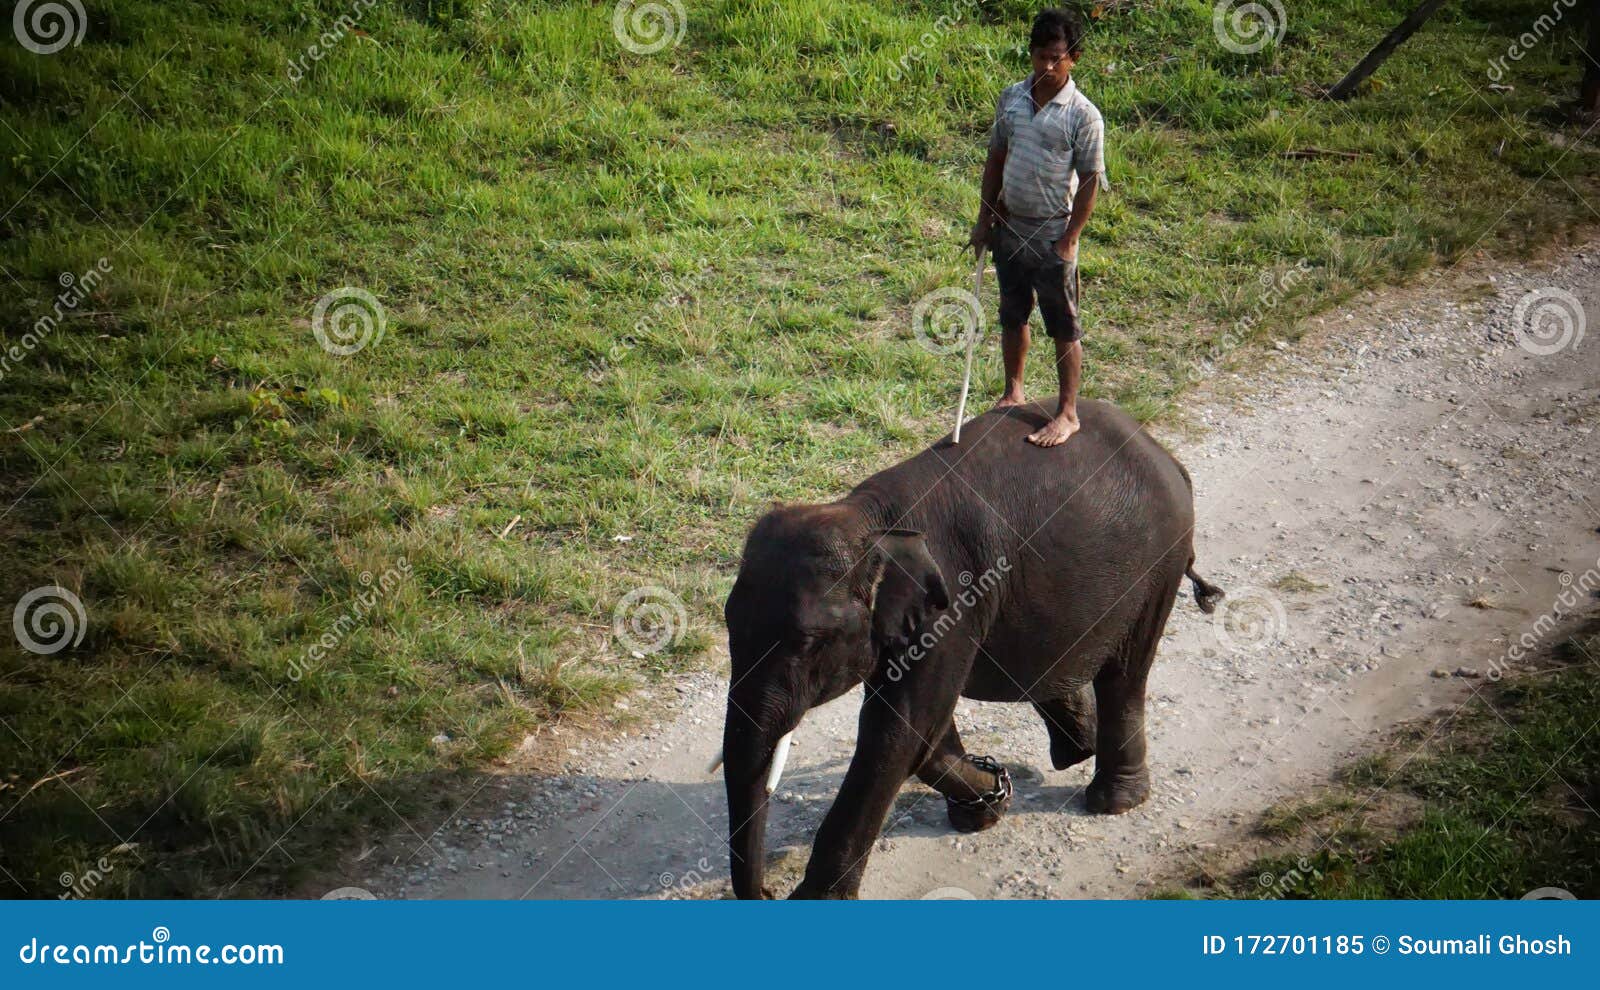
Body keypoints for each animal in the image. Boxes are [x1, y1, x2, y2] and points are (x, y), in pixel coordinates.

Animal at [715, 399, 1224, 899]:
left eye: (808, 642)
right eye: (728, 624)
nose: (766, 893)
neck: (868, 519)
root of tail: (1161, 451)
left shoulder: (952, 609)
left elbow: (900, 733)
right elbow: (924, 734)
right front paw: (986, 802)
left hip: (1159, 563)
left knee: (1125, 673)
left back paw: (1113, 800)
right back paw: (1077, 750)